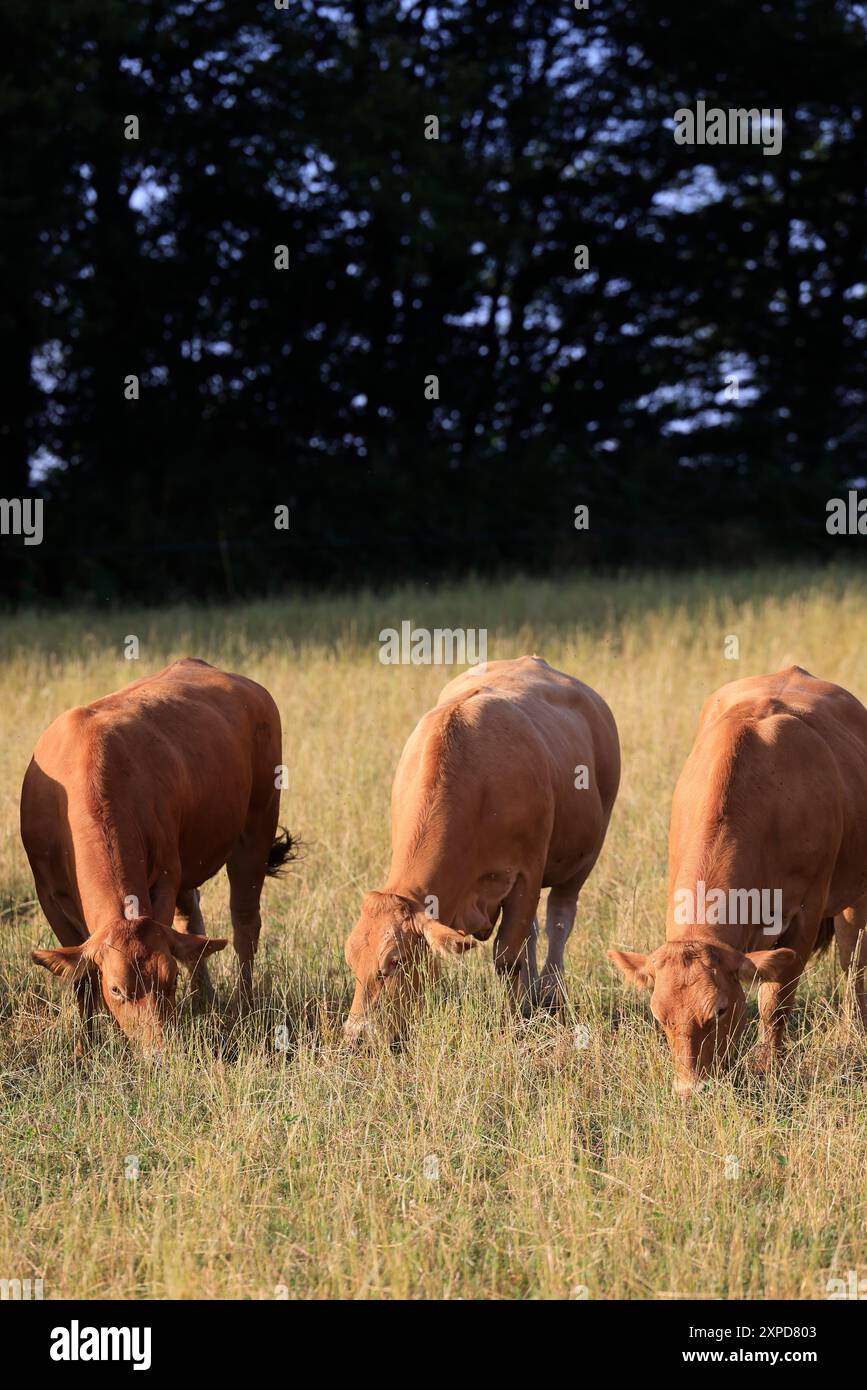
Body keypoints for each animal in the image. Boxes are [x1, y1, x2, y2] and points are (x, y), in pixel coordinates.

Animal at [20, 658, 294, 1053]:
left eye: (170, 980)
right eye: (117, 989)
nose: (158, 1050)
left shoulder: (164, 878)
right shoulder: (48, 894)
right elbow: (82, 977)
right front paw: (88, 1045)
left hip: (257, 828)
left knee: (245, 922)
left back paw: (245, 1004)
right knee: (191, 917)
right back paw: (204, 997)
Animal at [344, 655, 620, 1044]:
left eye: (394, 962)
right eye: (352, 961)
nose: (356, 1036)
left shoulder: (526, 874)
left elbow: (508, 955)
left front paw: (518, 1019)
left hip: (583, 861)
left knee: (559, 919)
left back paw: (550, 993)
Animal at [609, 666, 867, 1096]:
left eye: (720, 1010)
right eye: (659, 1016)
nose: (690, 1091)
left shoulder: (805, 914)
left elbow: (775, 1000)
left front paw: (770, 1066)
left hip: (854, 895)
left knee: (854, 962)